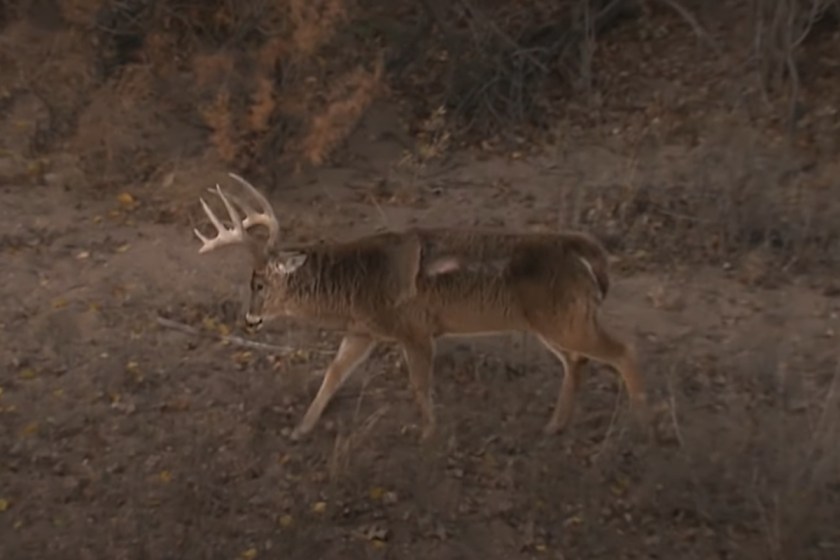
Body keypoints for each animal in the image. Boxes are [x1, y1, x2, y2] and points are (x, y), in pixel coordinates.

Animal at [193, 173, 649, 442]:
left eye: (259, 283)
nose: (250, 320)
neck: (357, 282)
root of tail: (585, 253)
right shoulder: (363, 329)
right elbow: (334, 374)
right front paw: (301, 430)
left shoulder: (415, 329)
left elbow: (419, 384)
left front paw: (429, 434)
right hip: (554, 321)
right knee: (577, 361)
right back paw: (555, 425)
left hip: (565, 318)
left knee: (624, 350)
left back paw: (637, 423)